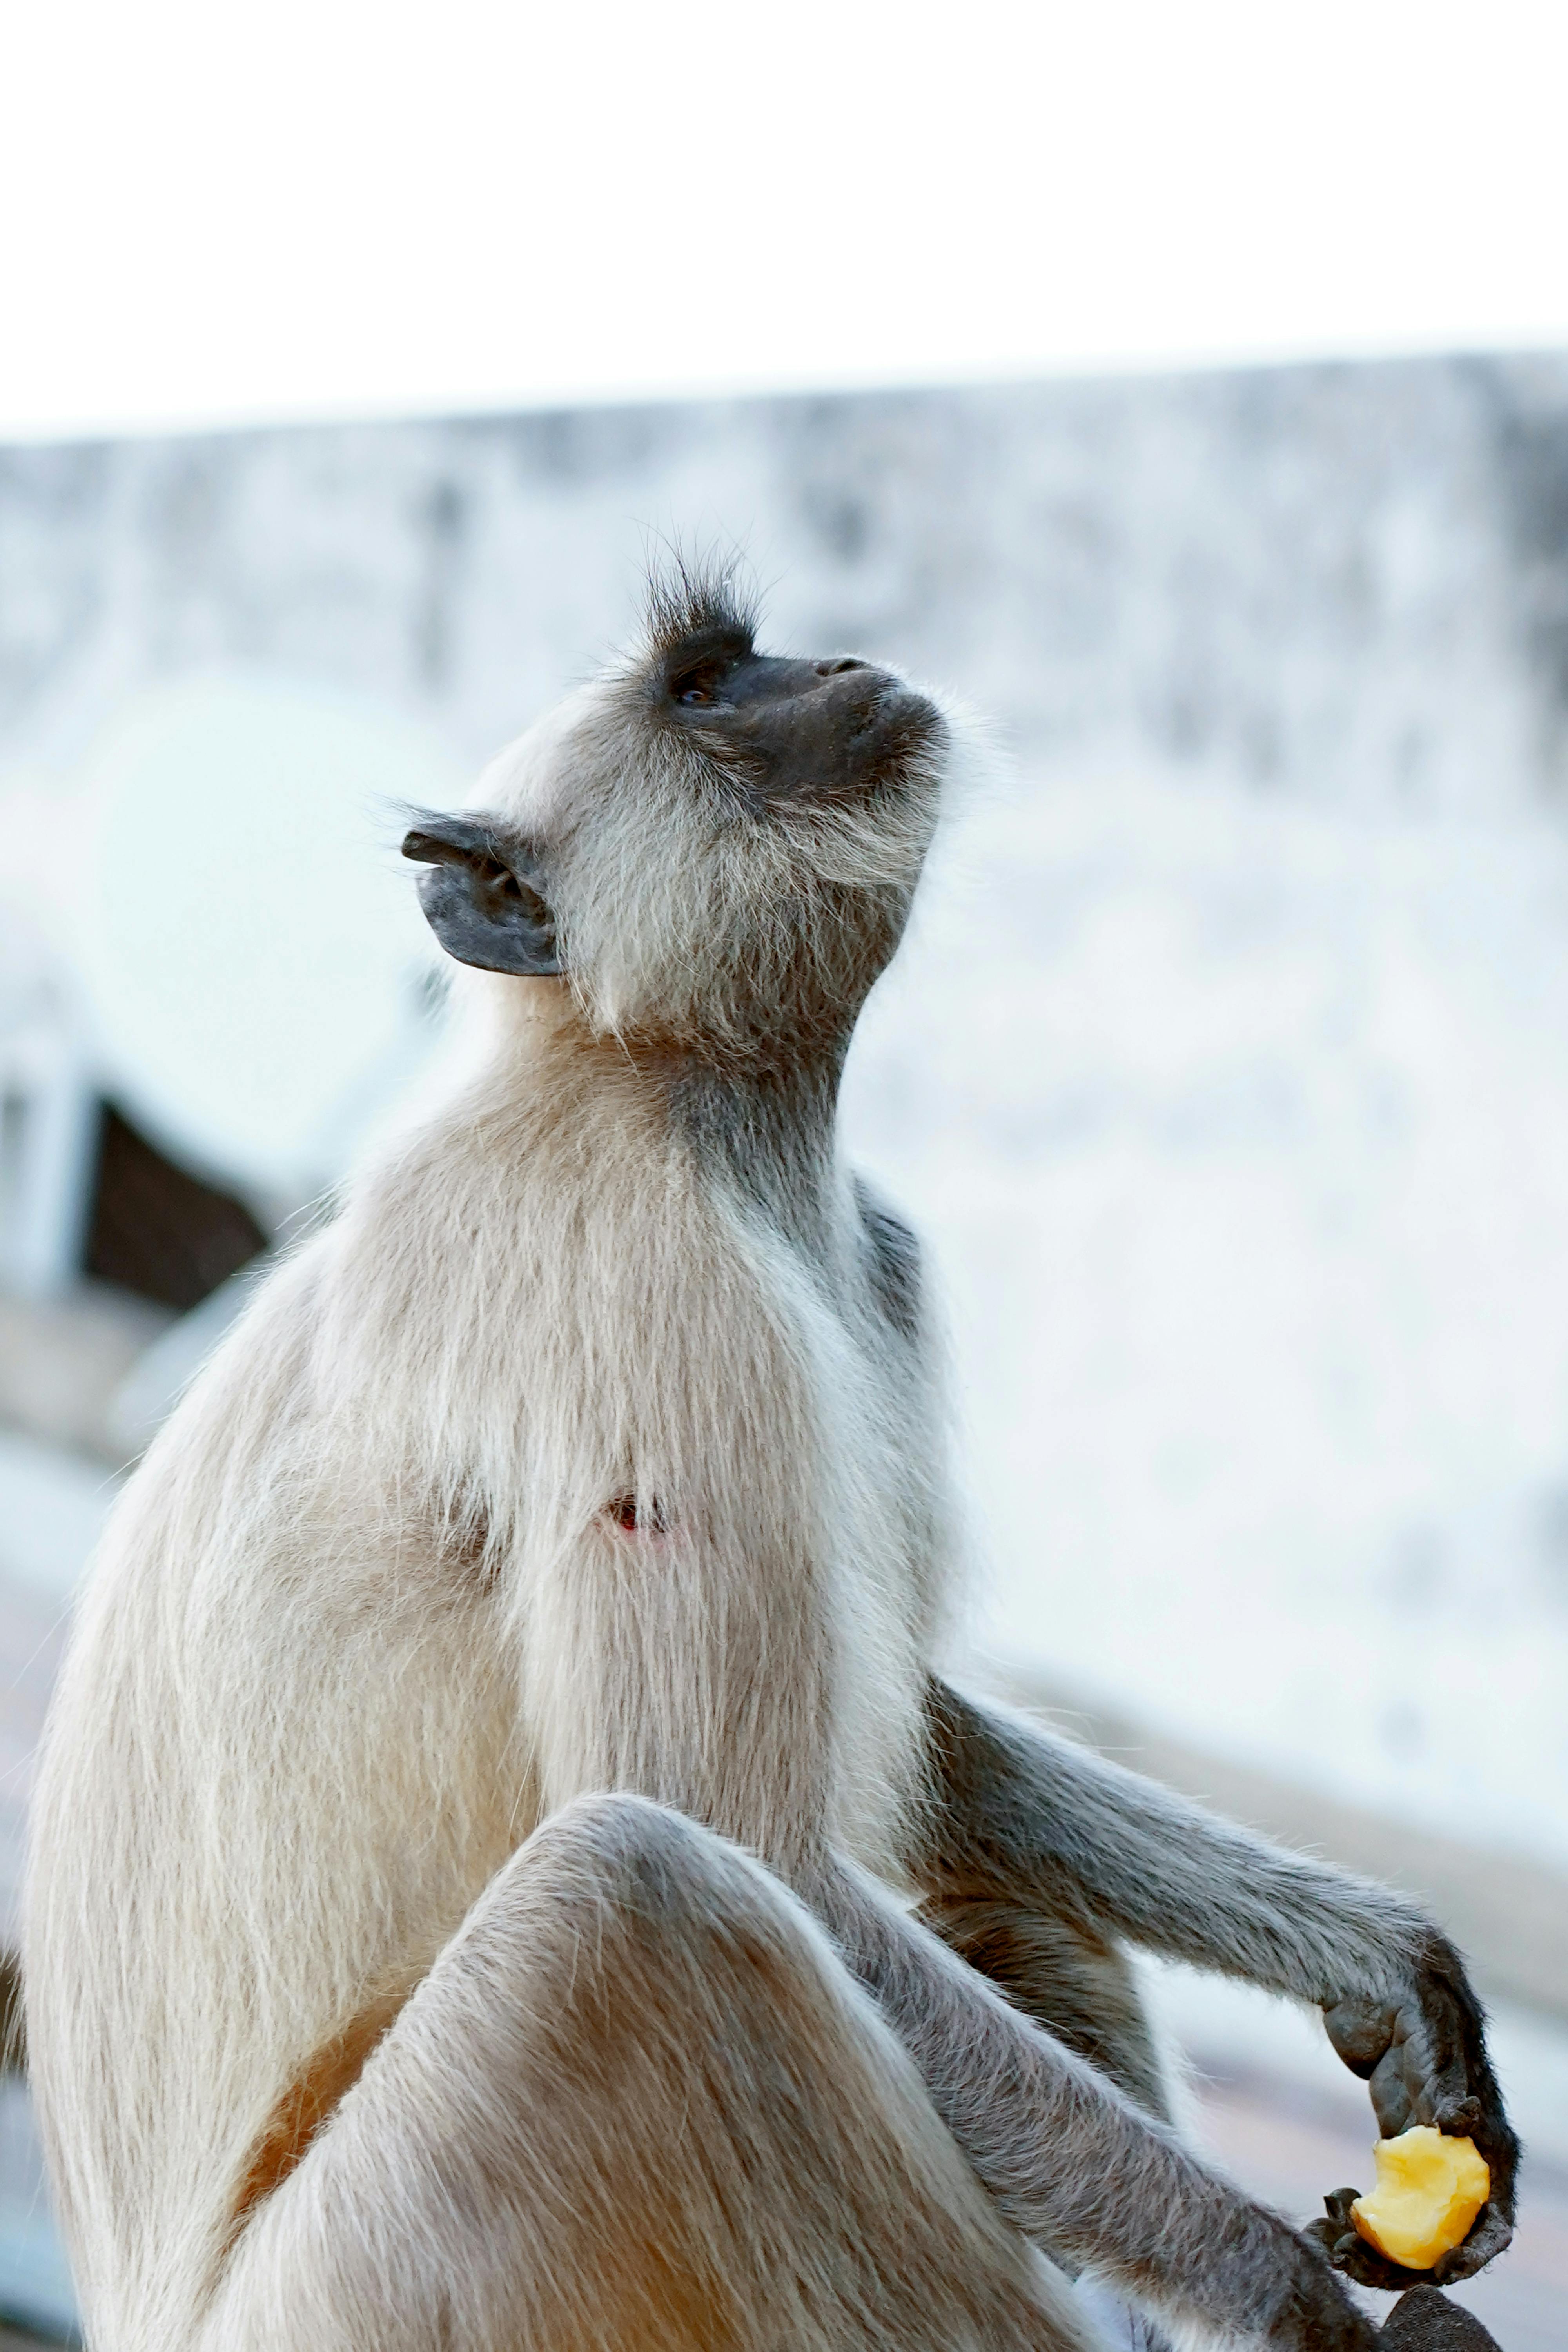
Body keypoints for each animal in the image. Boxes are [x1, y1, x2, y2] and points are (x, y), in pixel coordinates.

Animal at [22, 566, 1516, 2352]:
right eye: (702, 689)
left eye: (750, 657)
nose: (845, 665)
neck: (680, 1100)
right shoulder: (633, 1278)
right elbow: (752, 1833)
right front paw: (1285, 2299)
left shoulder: (877, 1261)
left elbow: (918, 1739)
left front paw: (1379, 1965)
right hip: (364, 2288)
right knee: (643, 1894)